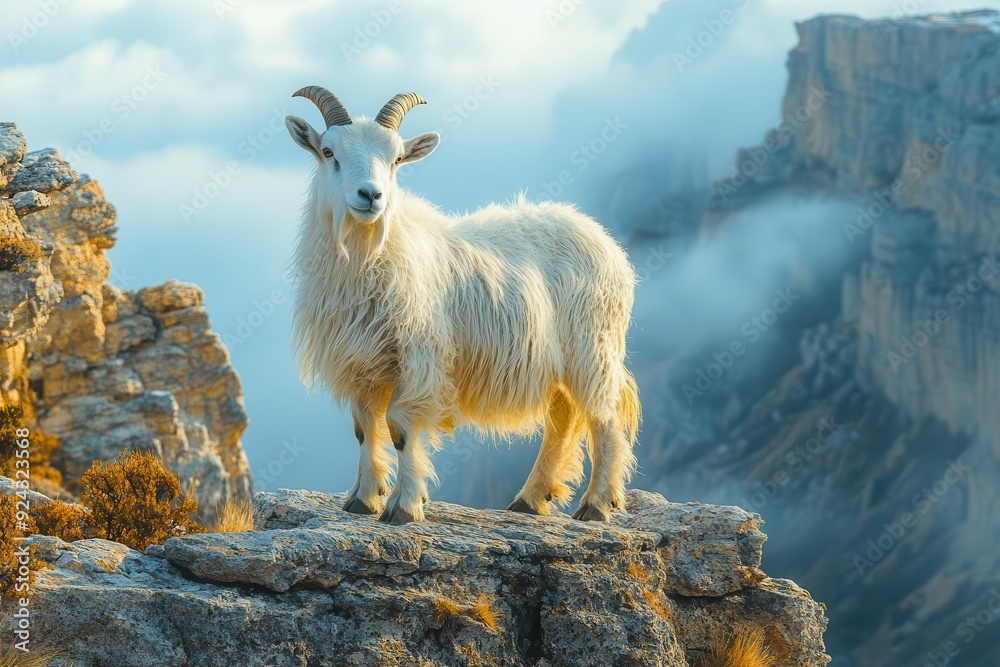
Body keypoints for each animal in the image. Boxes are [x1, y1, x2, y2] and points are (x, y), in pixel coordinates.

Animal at [285, 86, 639, 524]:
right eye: (328, 151)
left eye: (396, 159)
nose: (370, 195)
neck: (375, 252)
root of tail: (603, 238)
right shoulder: (363, 361)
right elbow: (364, 426)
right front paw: (363, 499)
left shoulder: (420, 356)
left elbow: (399, 426)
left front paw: (403, 505)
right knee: (562, 417)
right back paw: (530, 499)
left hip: (594, 347)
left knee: (603, 417)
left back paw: (596, 504)